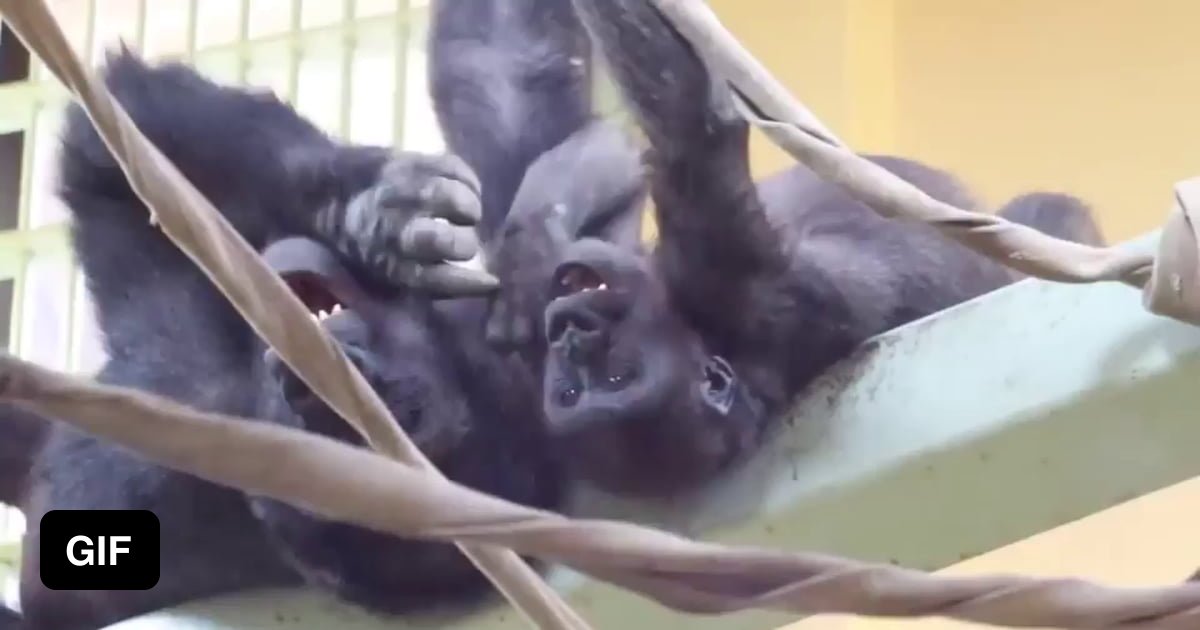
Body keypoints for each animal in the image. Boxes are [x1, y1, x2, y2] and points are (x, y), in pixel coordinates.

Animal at [475, 0, 1107, 498]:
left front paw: (530, 240)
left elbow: (674, 127)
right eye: (571, 390)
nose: (573, 337)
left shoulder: (728, 281)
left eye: (616, 375)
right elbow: (683, 120)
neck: (695, 321)